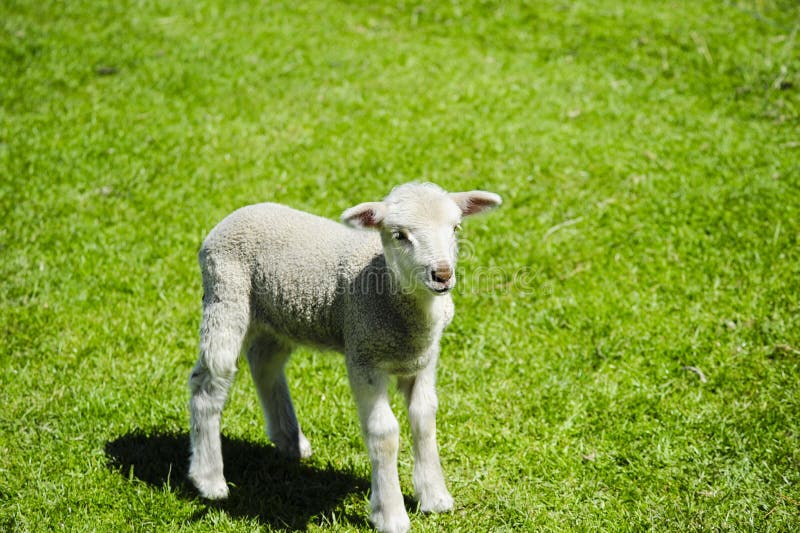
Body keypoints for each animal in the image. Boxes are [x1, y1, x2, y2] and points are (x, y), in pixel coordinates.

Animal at [187, 182, 502, 533]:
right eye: (399, 235)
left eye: (455, 228)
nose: (443, 275)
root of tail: (235, 214)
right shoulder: (363, 355)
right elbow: (384, 432)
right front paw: (390, 514)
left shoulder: (423, 358)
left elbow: (424, 418)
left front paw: (434, 497)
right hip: (225, 297)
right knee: (208, 385)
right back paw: (209, 479)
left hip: (279, 318)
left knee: (264, 363)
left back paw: (290, 440)